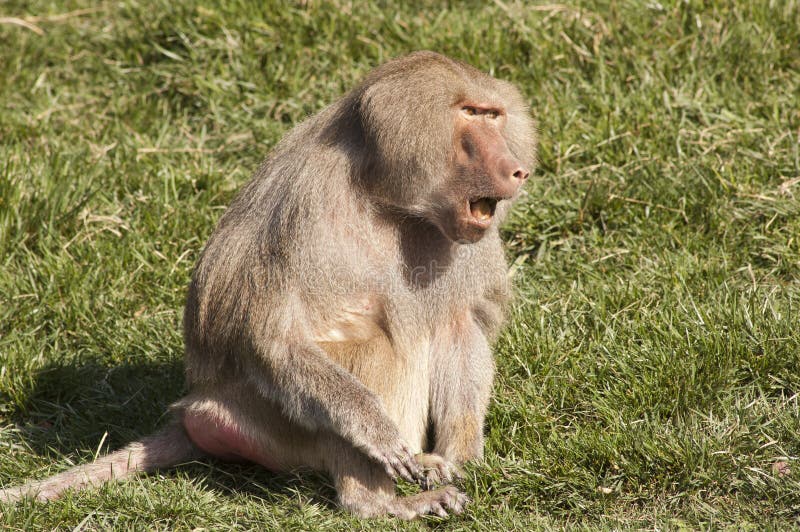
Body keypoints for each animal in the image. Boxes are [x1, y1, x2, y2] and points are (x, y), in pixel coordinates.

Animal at [0, 51, 536, 519]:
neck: (390, 197)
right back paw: (379, 504)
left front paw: (463, 459)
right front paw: (380, 437)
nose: (517, 169)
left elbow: (462, 325)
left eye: (495, 115)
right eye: (470, 114)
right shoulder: (306, 201)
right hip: (264, 418)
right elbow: (272, 338)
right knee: (365, 348)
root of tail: (198, 410)